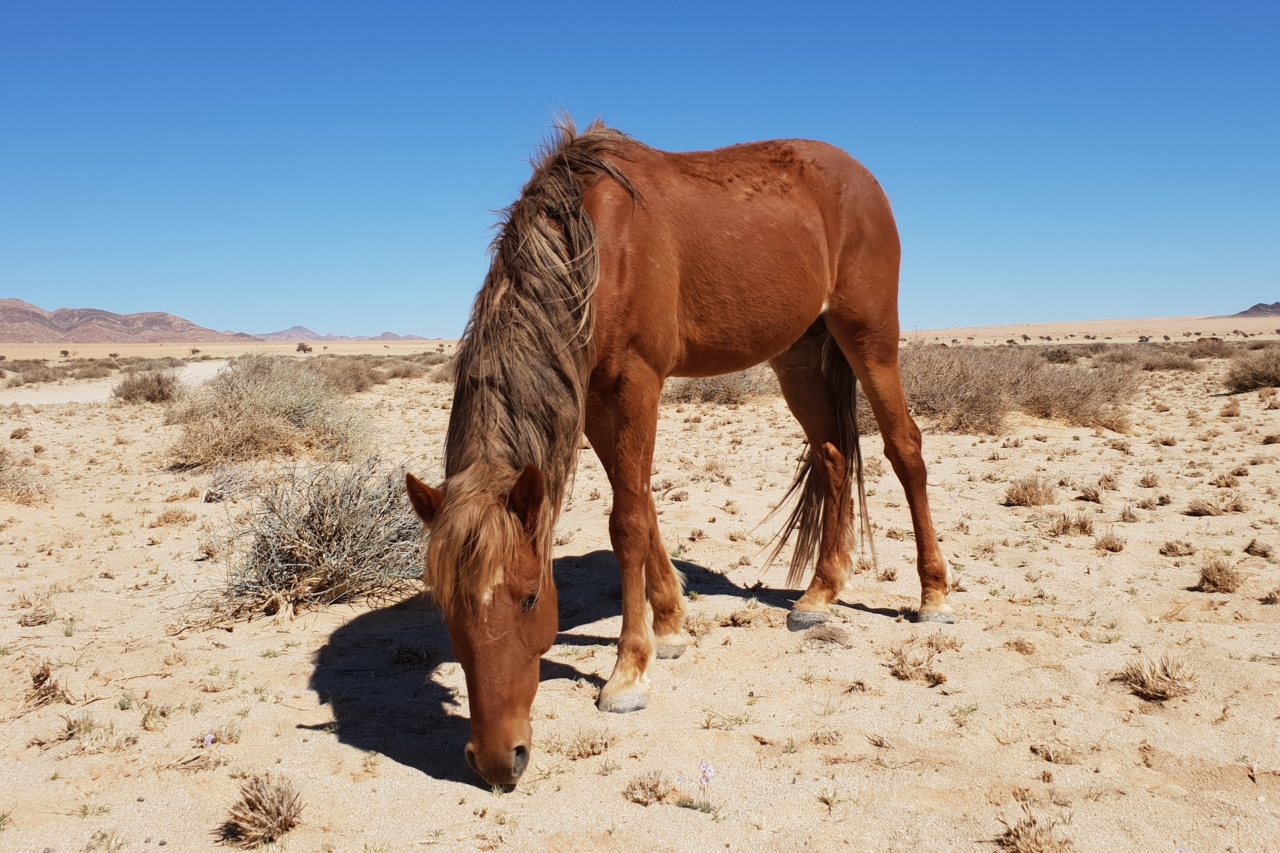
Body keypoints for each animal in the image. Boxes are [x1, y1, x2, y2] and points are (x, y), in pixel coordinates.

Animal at [405, 118, 953, 789]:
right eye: (444, 608)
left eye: (531, 596)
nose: (495, 760)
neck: (591, 242)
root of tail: (860, 176)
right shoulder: (595, 395)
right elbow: (639, 503)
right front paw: (668, 623)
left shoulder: (636, 382)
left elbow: (627, 521)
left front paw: (627, 673)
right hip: (798, 353)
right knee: (831, 456)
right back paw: (819, 594)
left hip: (869, 336)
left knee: (905, 450)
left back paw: (932, 596)